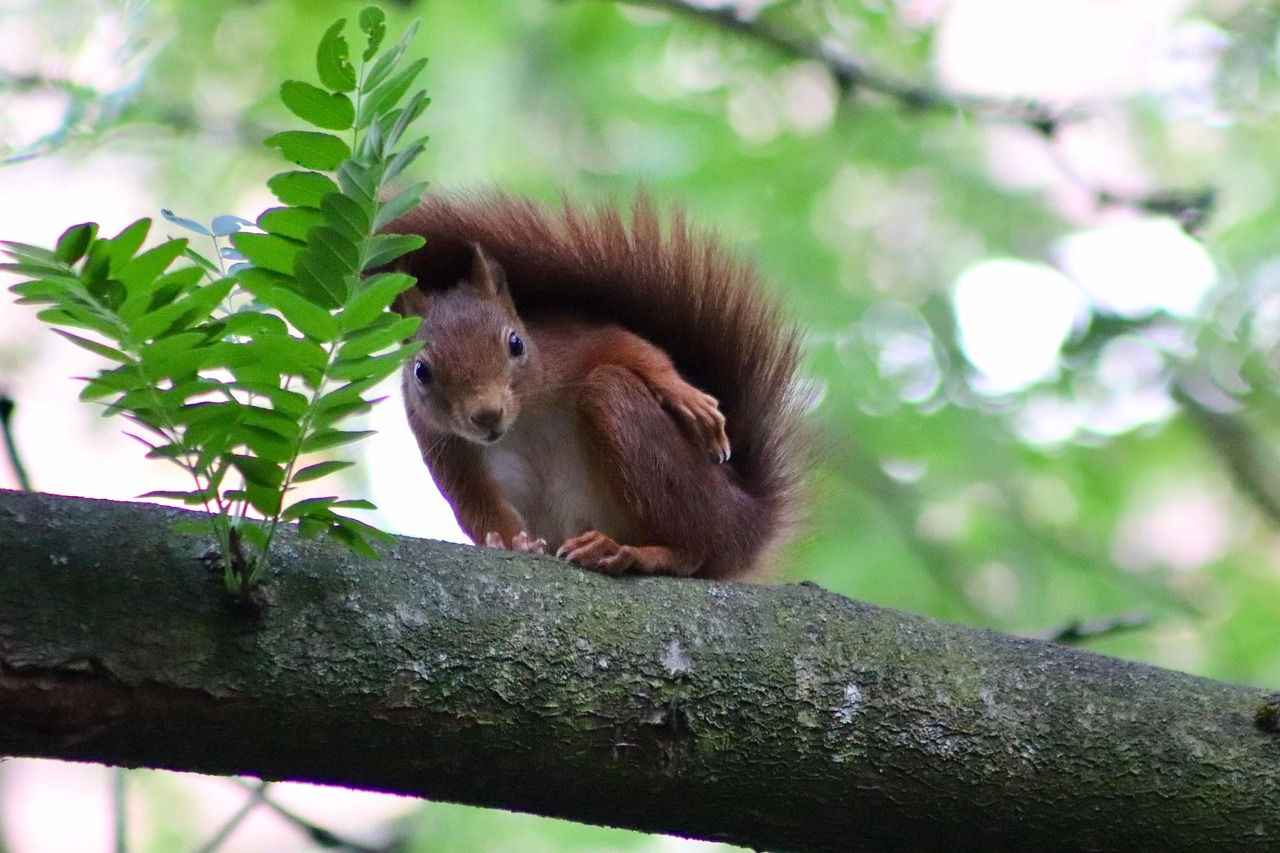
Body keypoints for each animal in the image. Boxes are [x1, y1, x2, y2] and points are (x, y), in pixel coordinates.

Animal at [389, 193, 804, 580]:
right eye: (421, 371)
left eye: (516, 344)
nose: (487, 415)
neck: (523, 419)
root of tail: (747, 518)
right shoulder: (446, 449)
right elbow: (481, 509)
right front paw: (510, 542)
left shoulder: (566, 347)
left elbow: (628, 347)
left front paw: (687, 397)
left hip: (649, 442)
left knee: (694, 550)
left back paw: (629, 552)